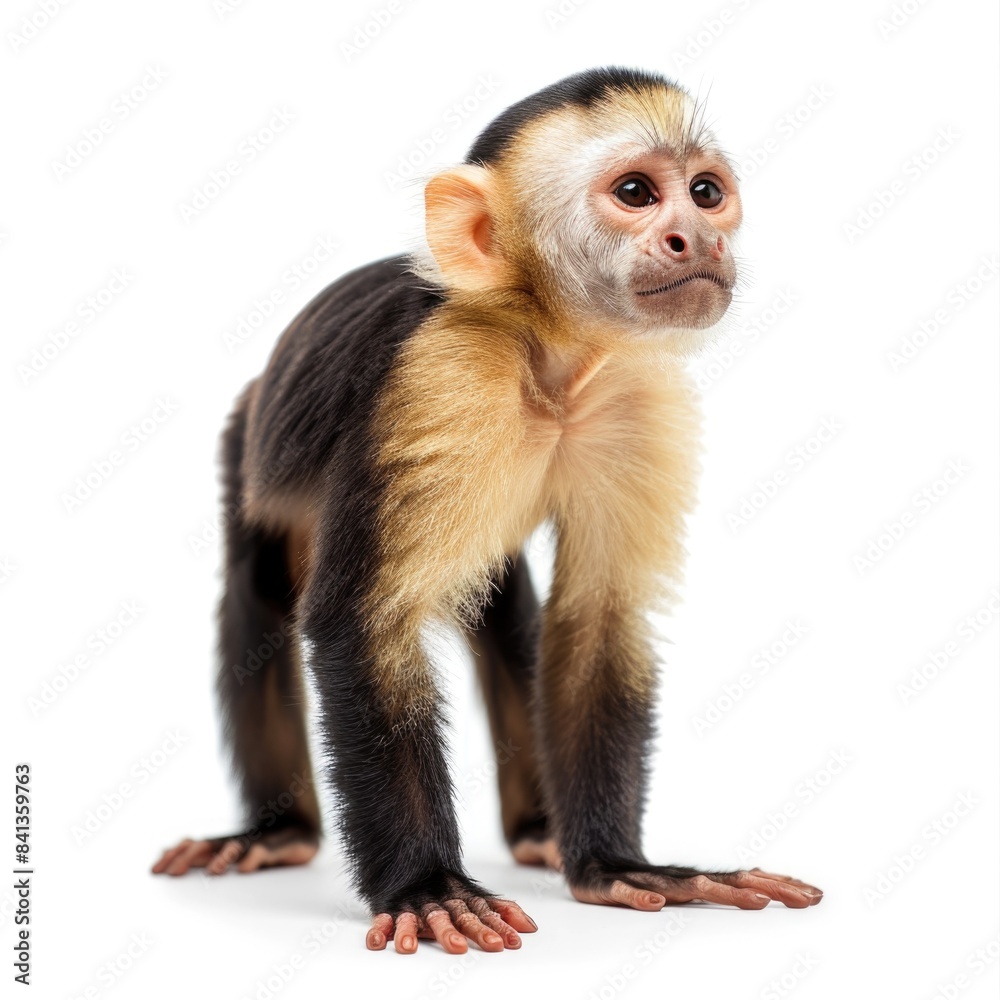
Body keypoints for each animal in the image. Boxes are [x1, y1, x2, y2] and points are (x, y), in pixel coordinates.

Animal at [151, 67, 823, 954]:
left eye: (706, 192)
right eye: (637, 193)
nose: (698, 238)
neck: (547, 352)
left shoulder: (635, 393)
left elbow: (600, 617)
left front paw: (616, 865)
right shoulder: (439, 378)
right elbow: (360, 622)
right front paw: (428, 887)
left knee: (509, 619)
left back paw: (541, 829)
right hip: (243, 438)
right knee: (258, 587)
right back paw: (277, 834)